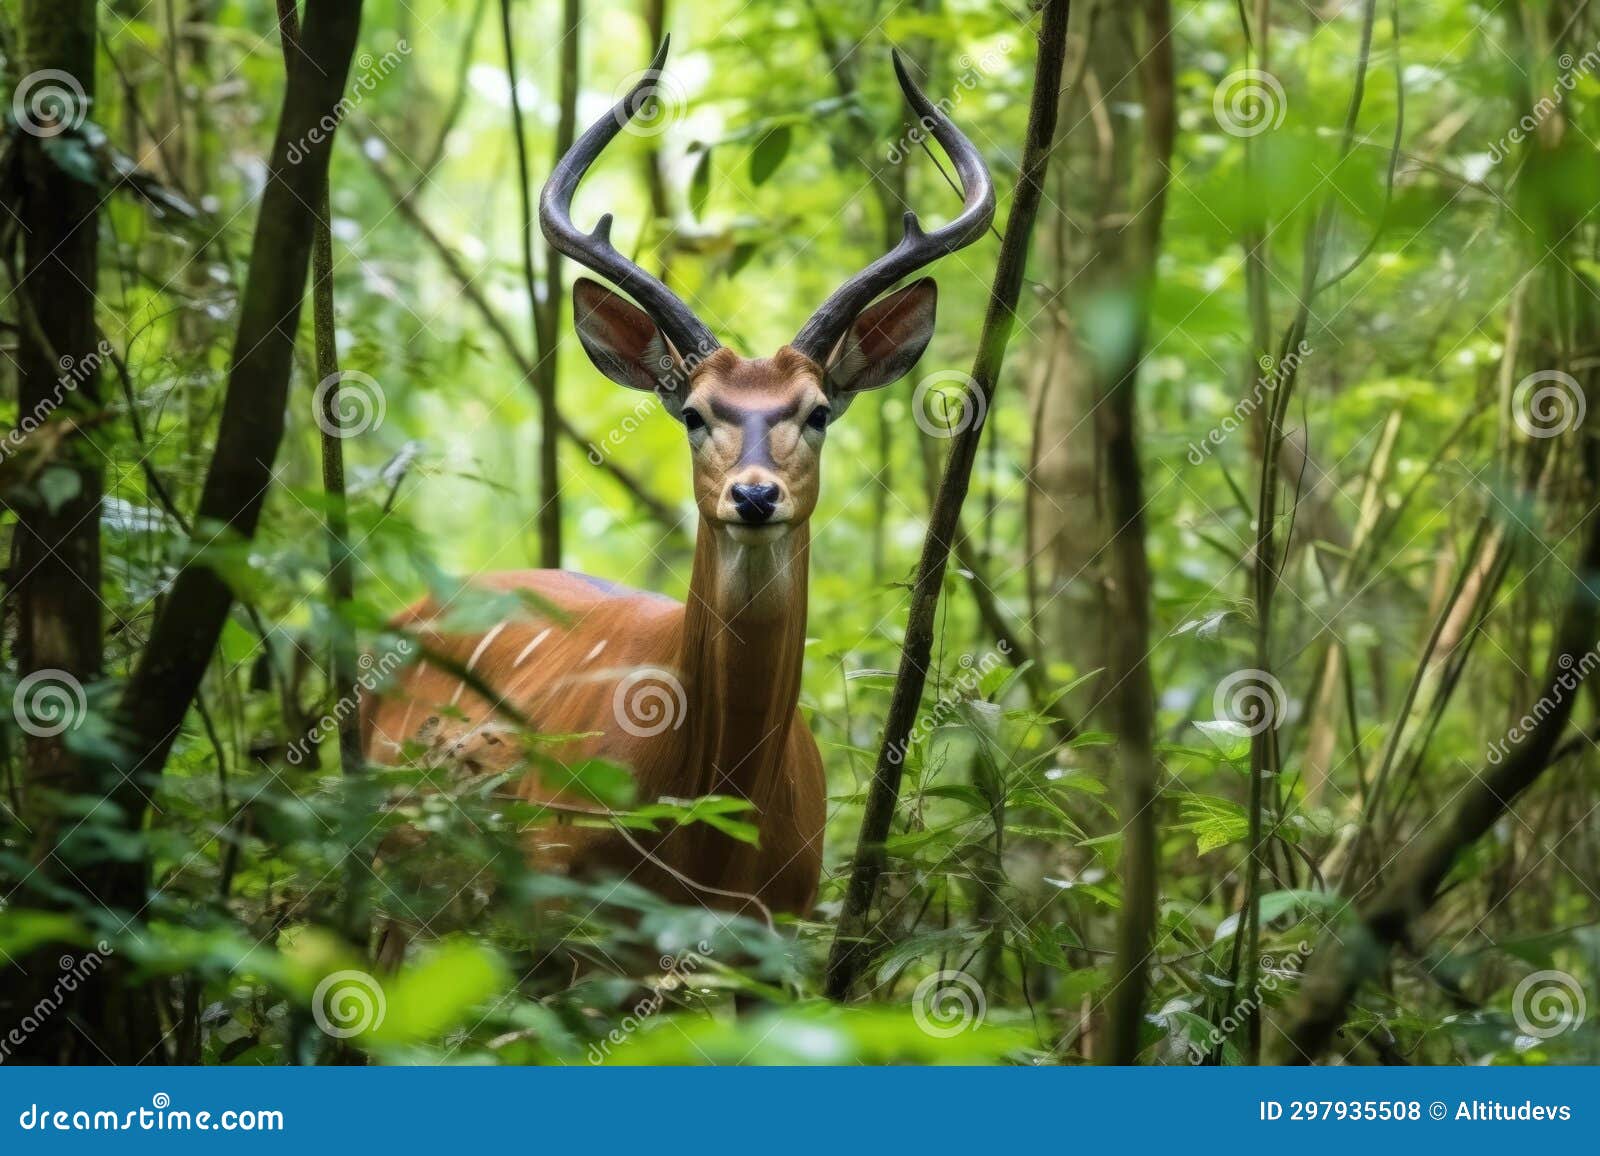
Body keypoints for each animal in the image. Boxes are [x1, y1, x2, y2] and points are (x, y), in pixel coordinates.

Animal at [364, 39, 994, 924]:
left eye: (818, 412)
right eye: (694, 414)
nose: (755, 495)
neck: (706, 825)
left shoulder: (780, 921)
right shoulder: (554, 901)